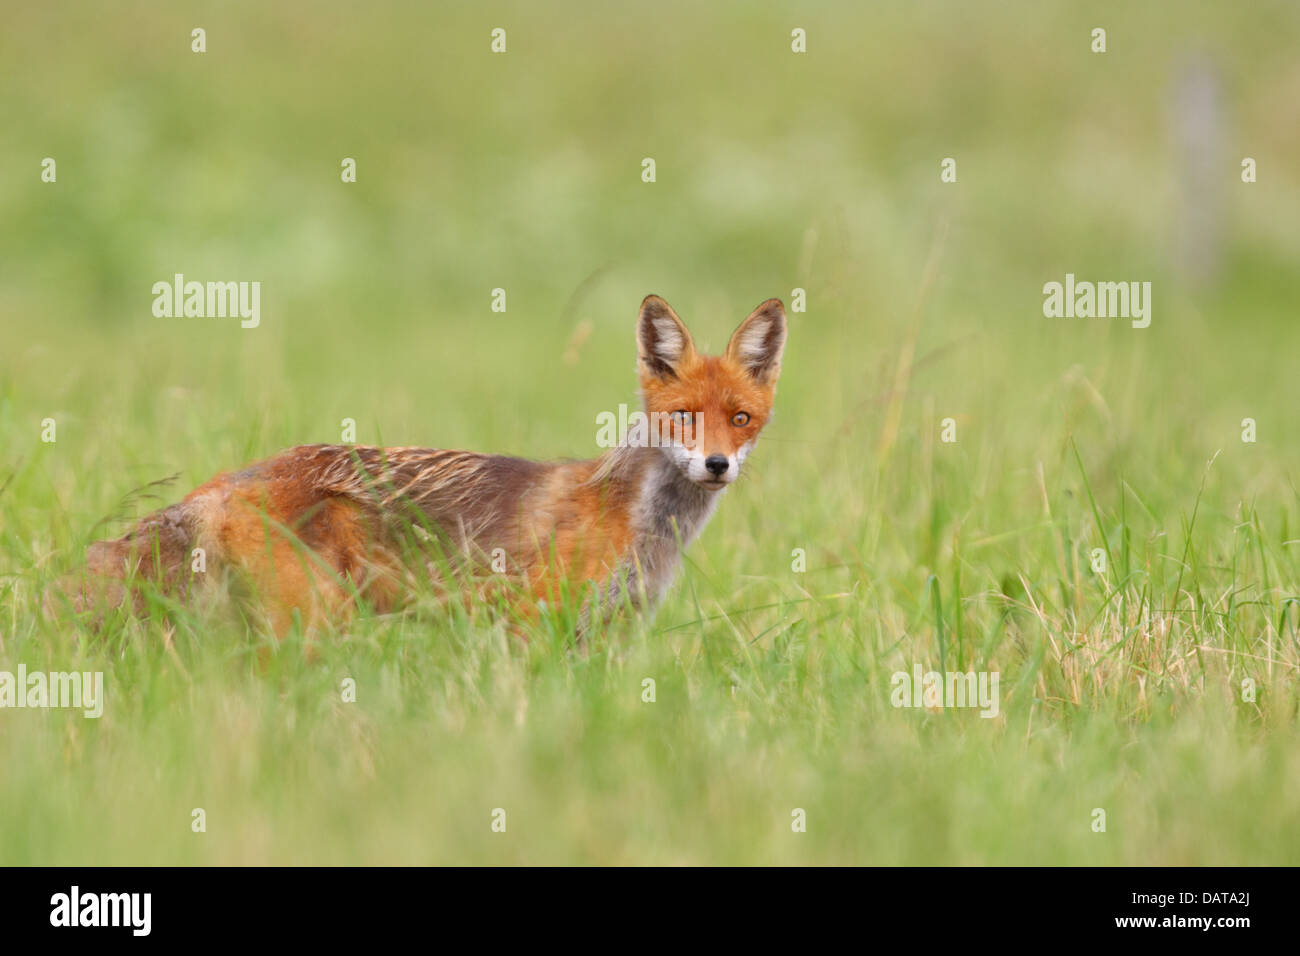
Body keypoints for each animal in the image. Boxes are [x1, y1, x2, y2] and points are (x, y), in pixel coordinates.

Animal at [54, 295, 787, 638]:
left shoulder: (607, 637)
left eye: (740, 418)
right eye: (684, 416)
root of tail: (226, 480)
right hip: (313, 623)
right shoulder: (533, 622)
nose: (717, 464)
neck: (643, 526)